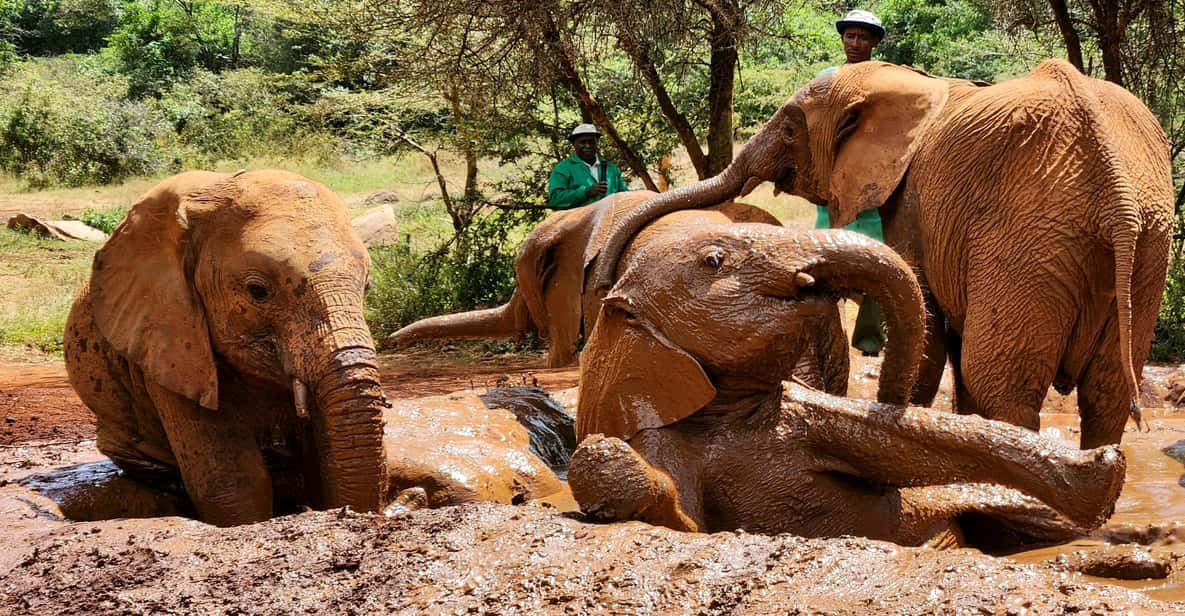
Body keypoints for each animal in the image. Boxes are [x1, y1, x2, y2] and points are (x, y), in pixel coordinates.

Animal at [567, 223, 1127, 544]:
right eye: (715, 261)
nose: (891, 390)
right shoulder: (661, 435)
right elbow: (686, 522)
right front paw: (608, 465)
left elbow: (910, 438)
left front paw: (1106, 470)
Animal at [587, 60, 1175, 448]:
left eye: (789, 128)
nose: (602, 284)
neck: (912, 83)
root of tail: (1117, 190)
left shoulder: (914, 202)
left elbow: (932, 327)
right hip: (1146, 242)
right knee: (1106, 393)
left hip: (1032, 234)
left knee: (1003, 382)